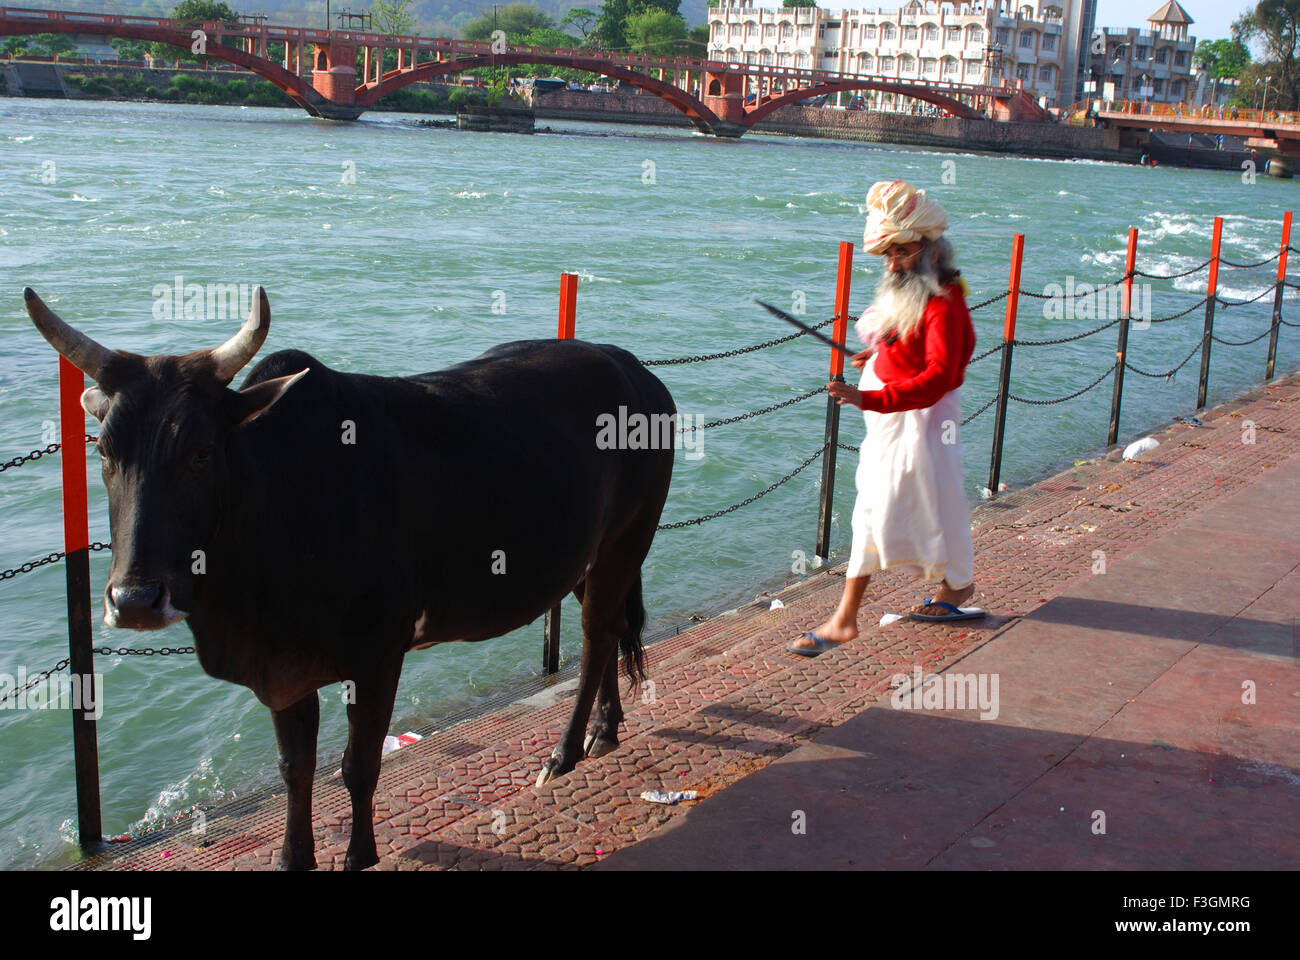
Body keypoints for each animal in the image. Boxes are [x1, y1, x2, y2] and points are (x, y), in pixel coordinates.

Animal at [23, 286, 675, 870]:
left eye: (201, 452)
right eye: (105, 452)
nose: (134, 599)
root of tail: (635, 369)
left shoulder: (377, 656)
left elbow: (357, 767)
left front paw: (360, 856)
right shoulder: (286, 670)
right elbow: (296, 768)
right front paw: (294, 858)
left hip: (627, 539)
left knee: (596, 637)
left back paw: (565, 753)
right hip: (588, 559)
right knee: (609, 630)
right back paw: (606, 729)